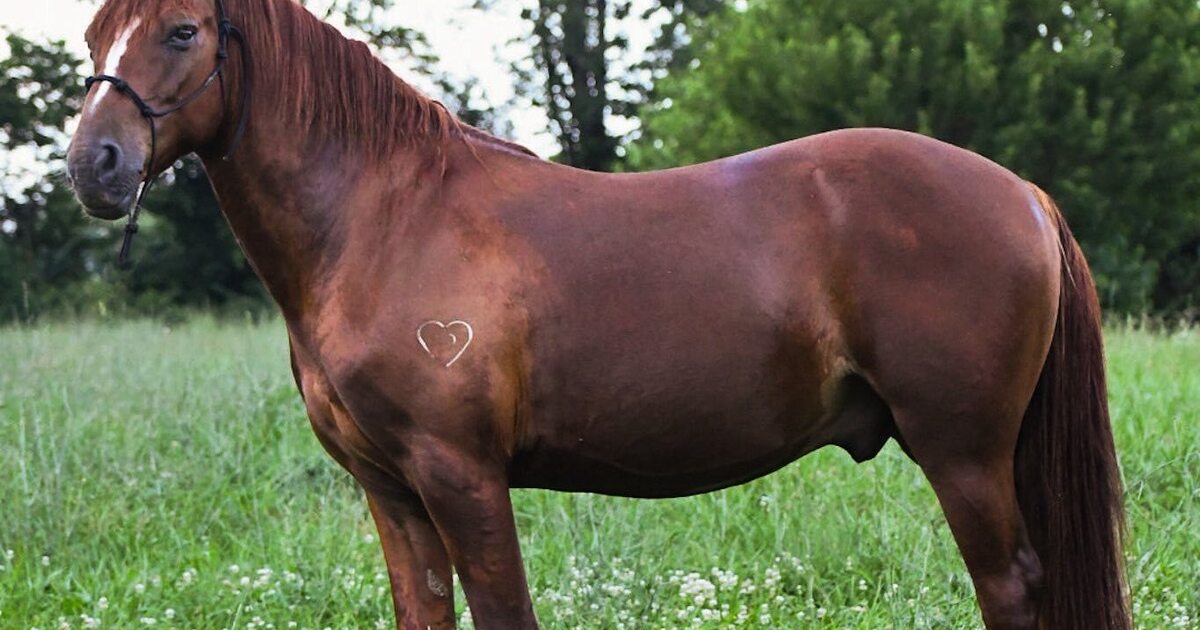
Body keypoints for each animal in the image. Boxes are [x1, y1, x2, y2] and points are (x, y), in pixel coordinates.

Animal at [65, 0, 1129, 628]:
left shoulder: (461, 477)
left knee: (1011, 587)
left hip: (964, 453)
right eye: (91, 34)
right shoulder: (391, 492)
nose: (93, 165)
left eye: (183, 31)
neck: (384, 217)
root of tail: (1021, 192)